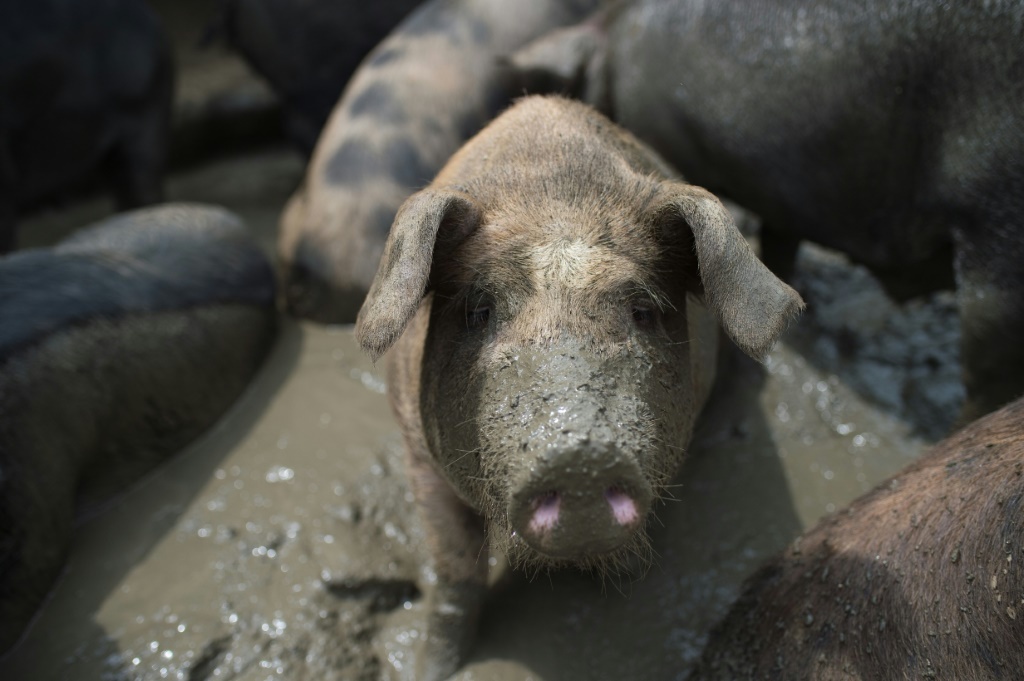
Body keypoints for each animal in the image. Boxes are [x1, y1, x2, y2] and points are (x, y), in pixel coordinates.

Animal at [354, 95, 804, 681]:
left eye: (642, 311)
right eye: (478, 311)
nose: (579, 459)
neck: (555, 195)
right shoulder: (416, 451)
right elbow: (455, 572)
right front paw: (431, 670)